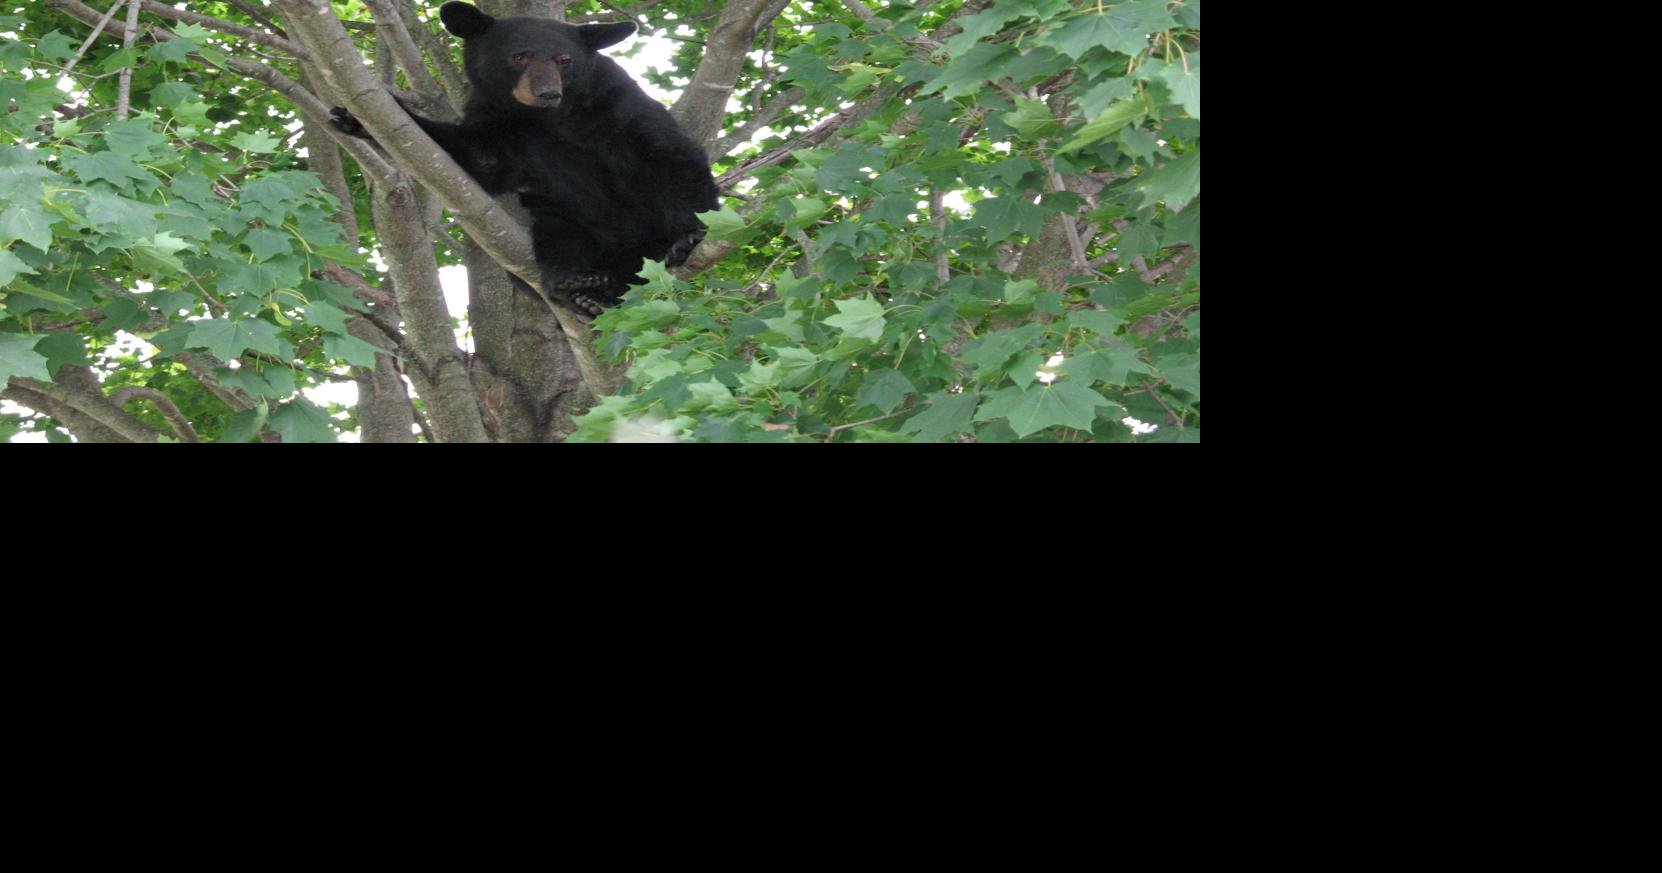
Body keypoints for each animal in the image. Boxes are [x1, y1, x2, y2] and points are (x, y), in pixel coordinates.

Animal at [330, 1, 721, 315]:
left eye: (564, 60)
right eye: (520, 56)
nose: (547, 93)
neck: (551, 119)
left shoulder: (615, 101)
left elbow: (669, 156)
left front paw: (688, 236)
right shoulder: (498, 120)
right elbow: (484, 158)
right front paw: (355, 119)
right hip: (562, 224)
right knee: (556, 235)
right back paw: (581, 284)